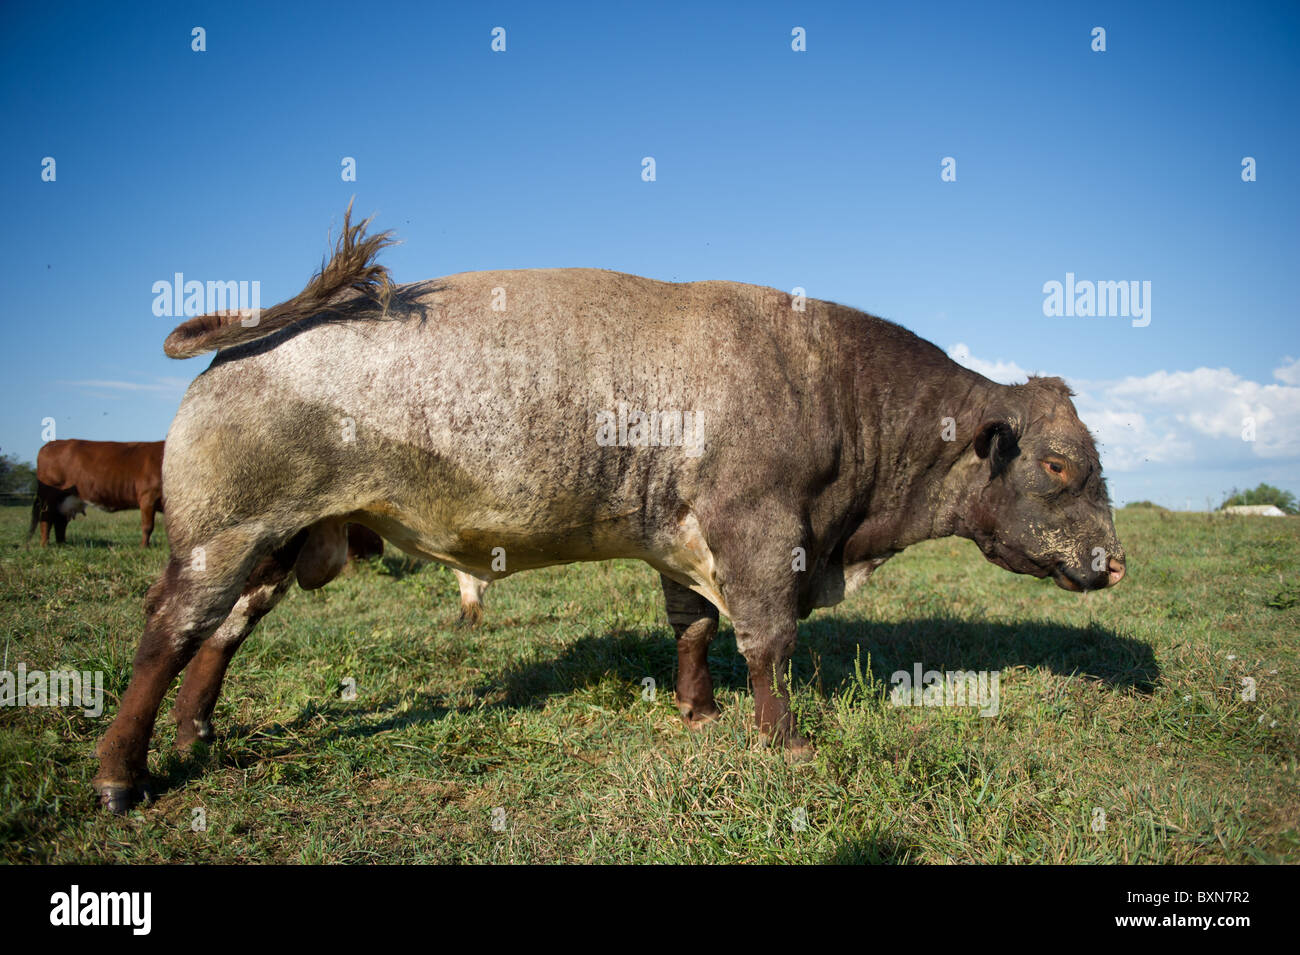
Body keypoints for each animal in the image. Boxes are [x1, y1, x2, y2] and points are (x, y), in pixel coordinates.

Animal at [30, 440, 165, 547]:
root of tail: (52, 443)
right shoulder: (148, 497)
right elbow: (148, 526)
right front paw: (144, 547)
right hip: (49, 497)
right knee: (46, 519)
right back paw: (45, 545)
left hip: (65, 500)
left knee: (60, 521)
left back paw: (62, 544)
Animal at [91, 205, 1126, 811]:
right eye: (1062, 464)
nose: (1114, 560)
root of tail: (253, 335)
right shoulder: (762, 536)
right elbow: (770, 643)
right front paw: (784, 742)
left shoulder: (683, 544)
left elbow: (692, 628)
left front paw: (698, 713)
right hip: (222, 535)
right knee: (168, 630)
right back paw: (119, 773)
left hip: (279, 541)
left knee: (221, 632)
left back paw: (195, 731)